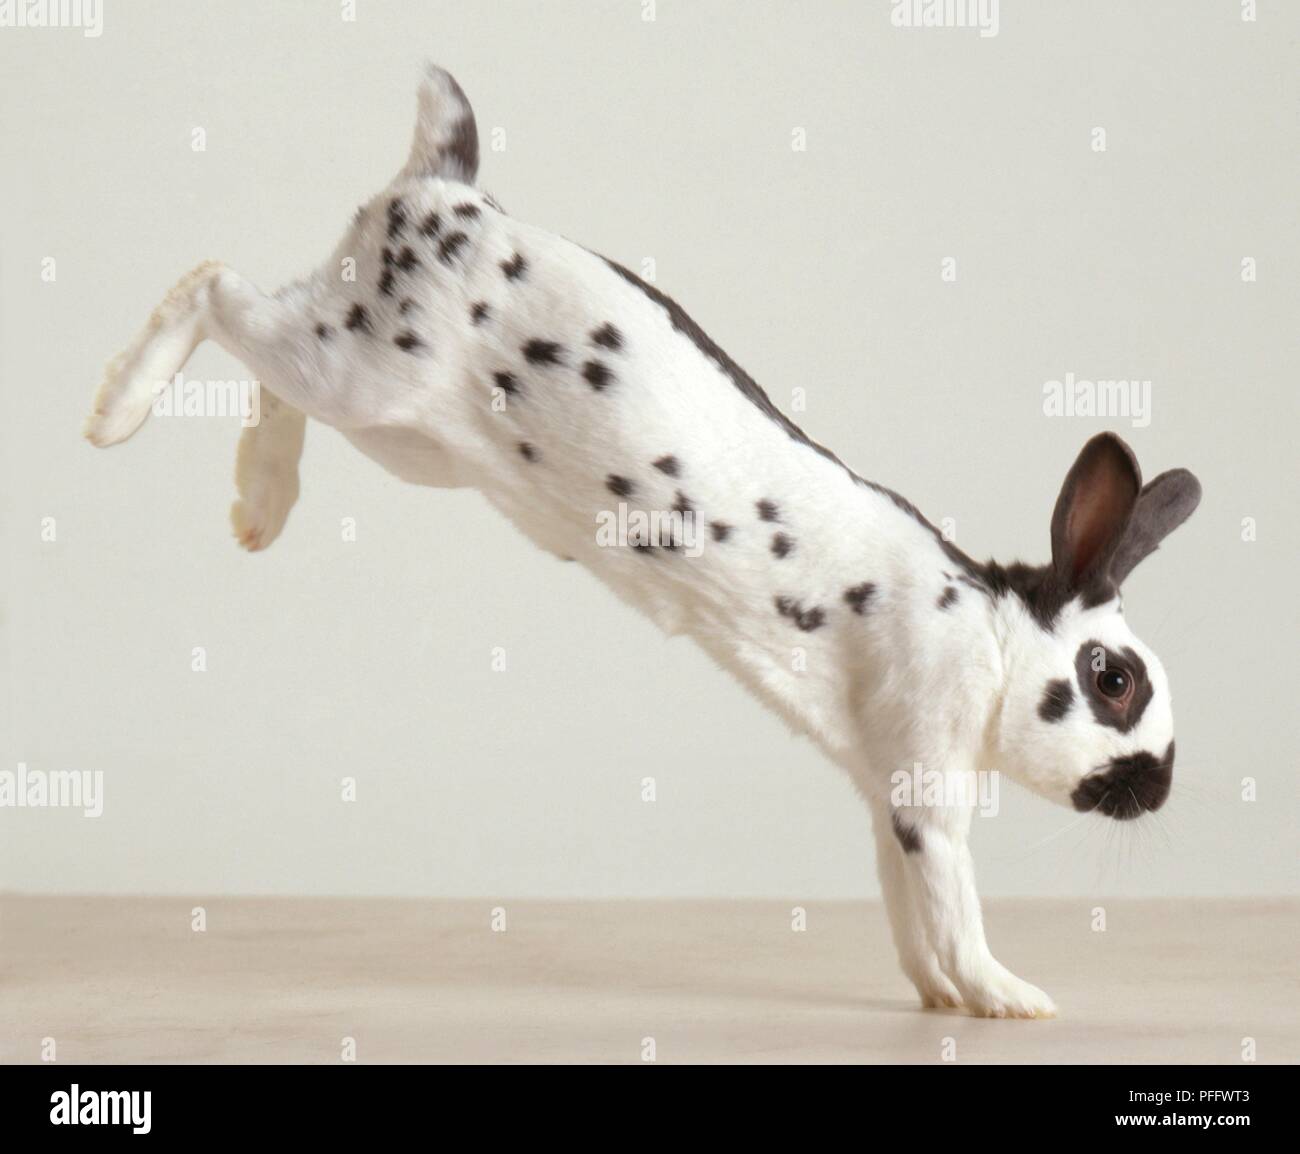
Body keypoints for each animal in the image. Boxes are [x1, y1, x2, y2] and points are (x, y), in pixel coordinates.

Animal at [85, 64, 1201, 1018]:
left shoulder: (887, 792)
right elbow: (954, 907)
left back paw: (258, 508)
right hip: (361, 369)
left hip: (392, 427)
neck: (992, 637)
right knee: (215, 288)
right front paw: (1011, 997)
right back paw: (114, 416)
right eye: (1111, 679)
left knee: (265, 362)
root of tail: (445, 197)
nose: (1158, 786)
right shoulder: (927, 786)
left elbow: (907, 911)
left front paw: (941, 1000)